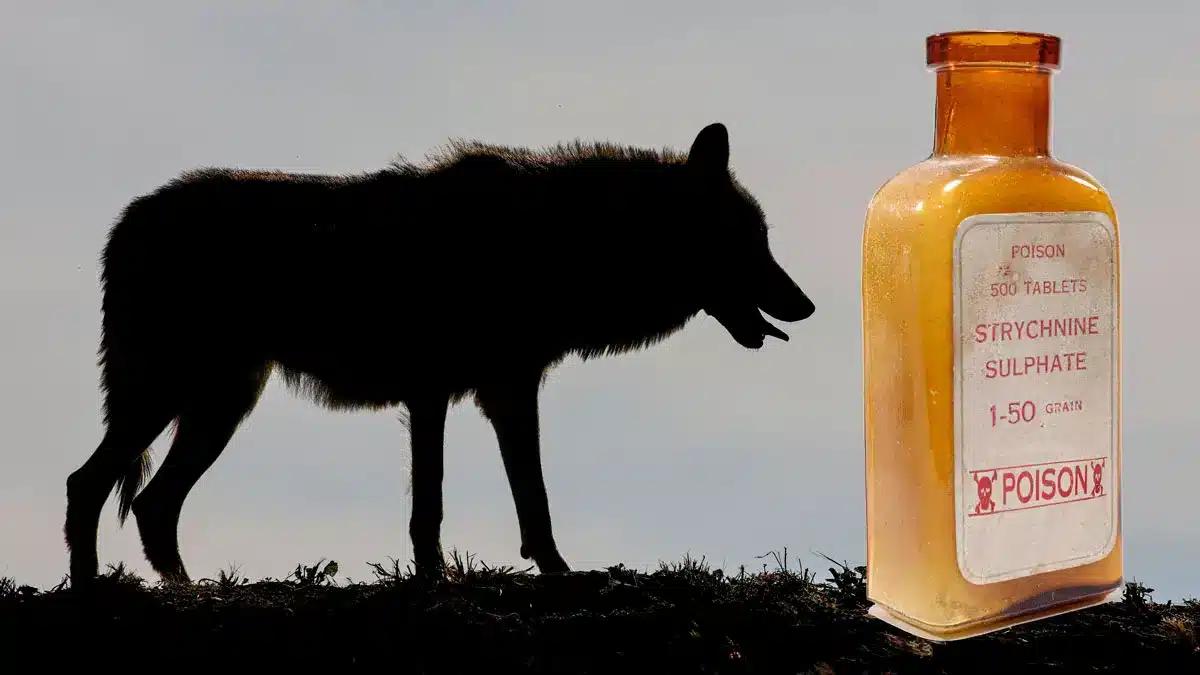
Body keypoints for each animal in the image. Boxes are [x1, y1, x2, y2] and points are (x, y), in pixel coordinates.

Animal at [63, 122, 815, 587]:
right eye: (753, 240)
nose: (806, 306)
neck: (559, 241)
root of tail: (127, 219)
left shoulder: (473, 393)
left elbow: (469, 504)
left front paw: (473, 574)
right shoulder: (471, 391)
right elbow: (487, 498)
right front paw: (532, 572)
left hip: (218, 407)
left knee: (150, 504)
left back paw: (184, 590)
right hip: (171, 399)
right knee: (86, 484)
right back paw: (91, 590)